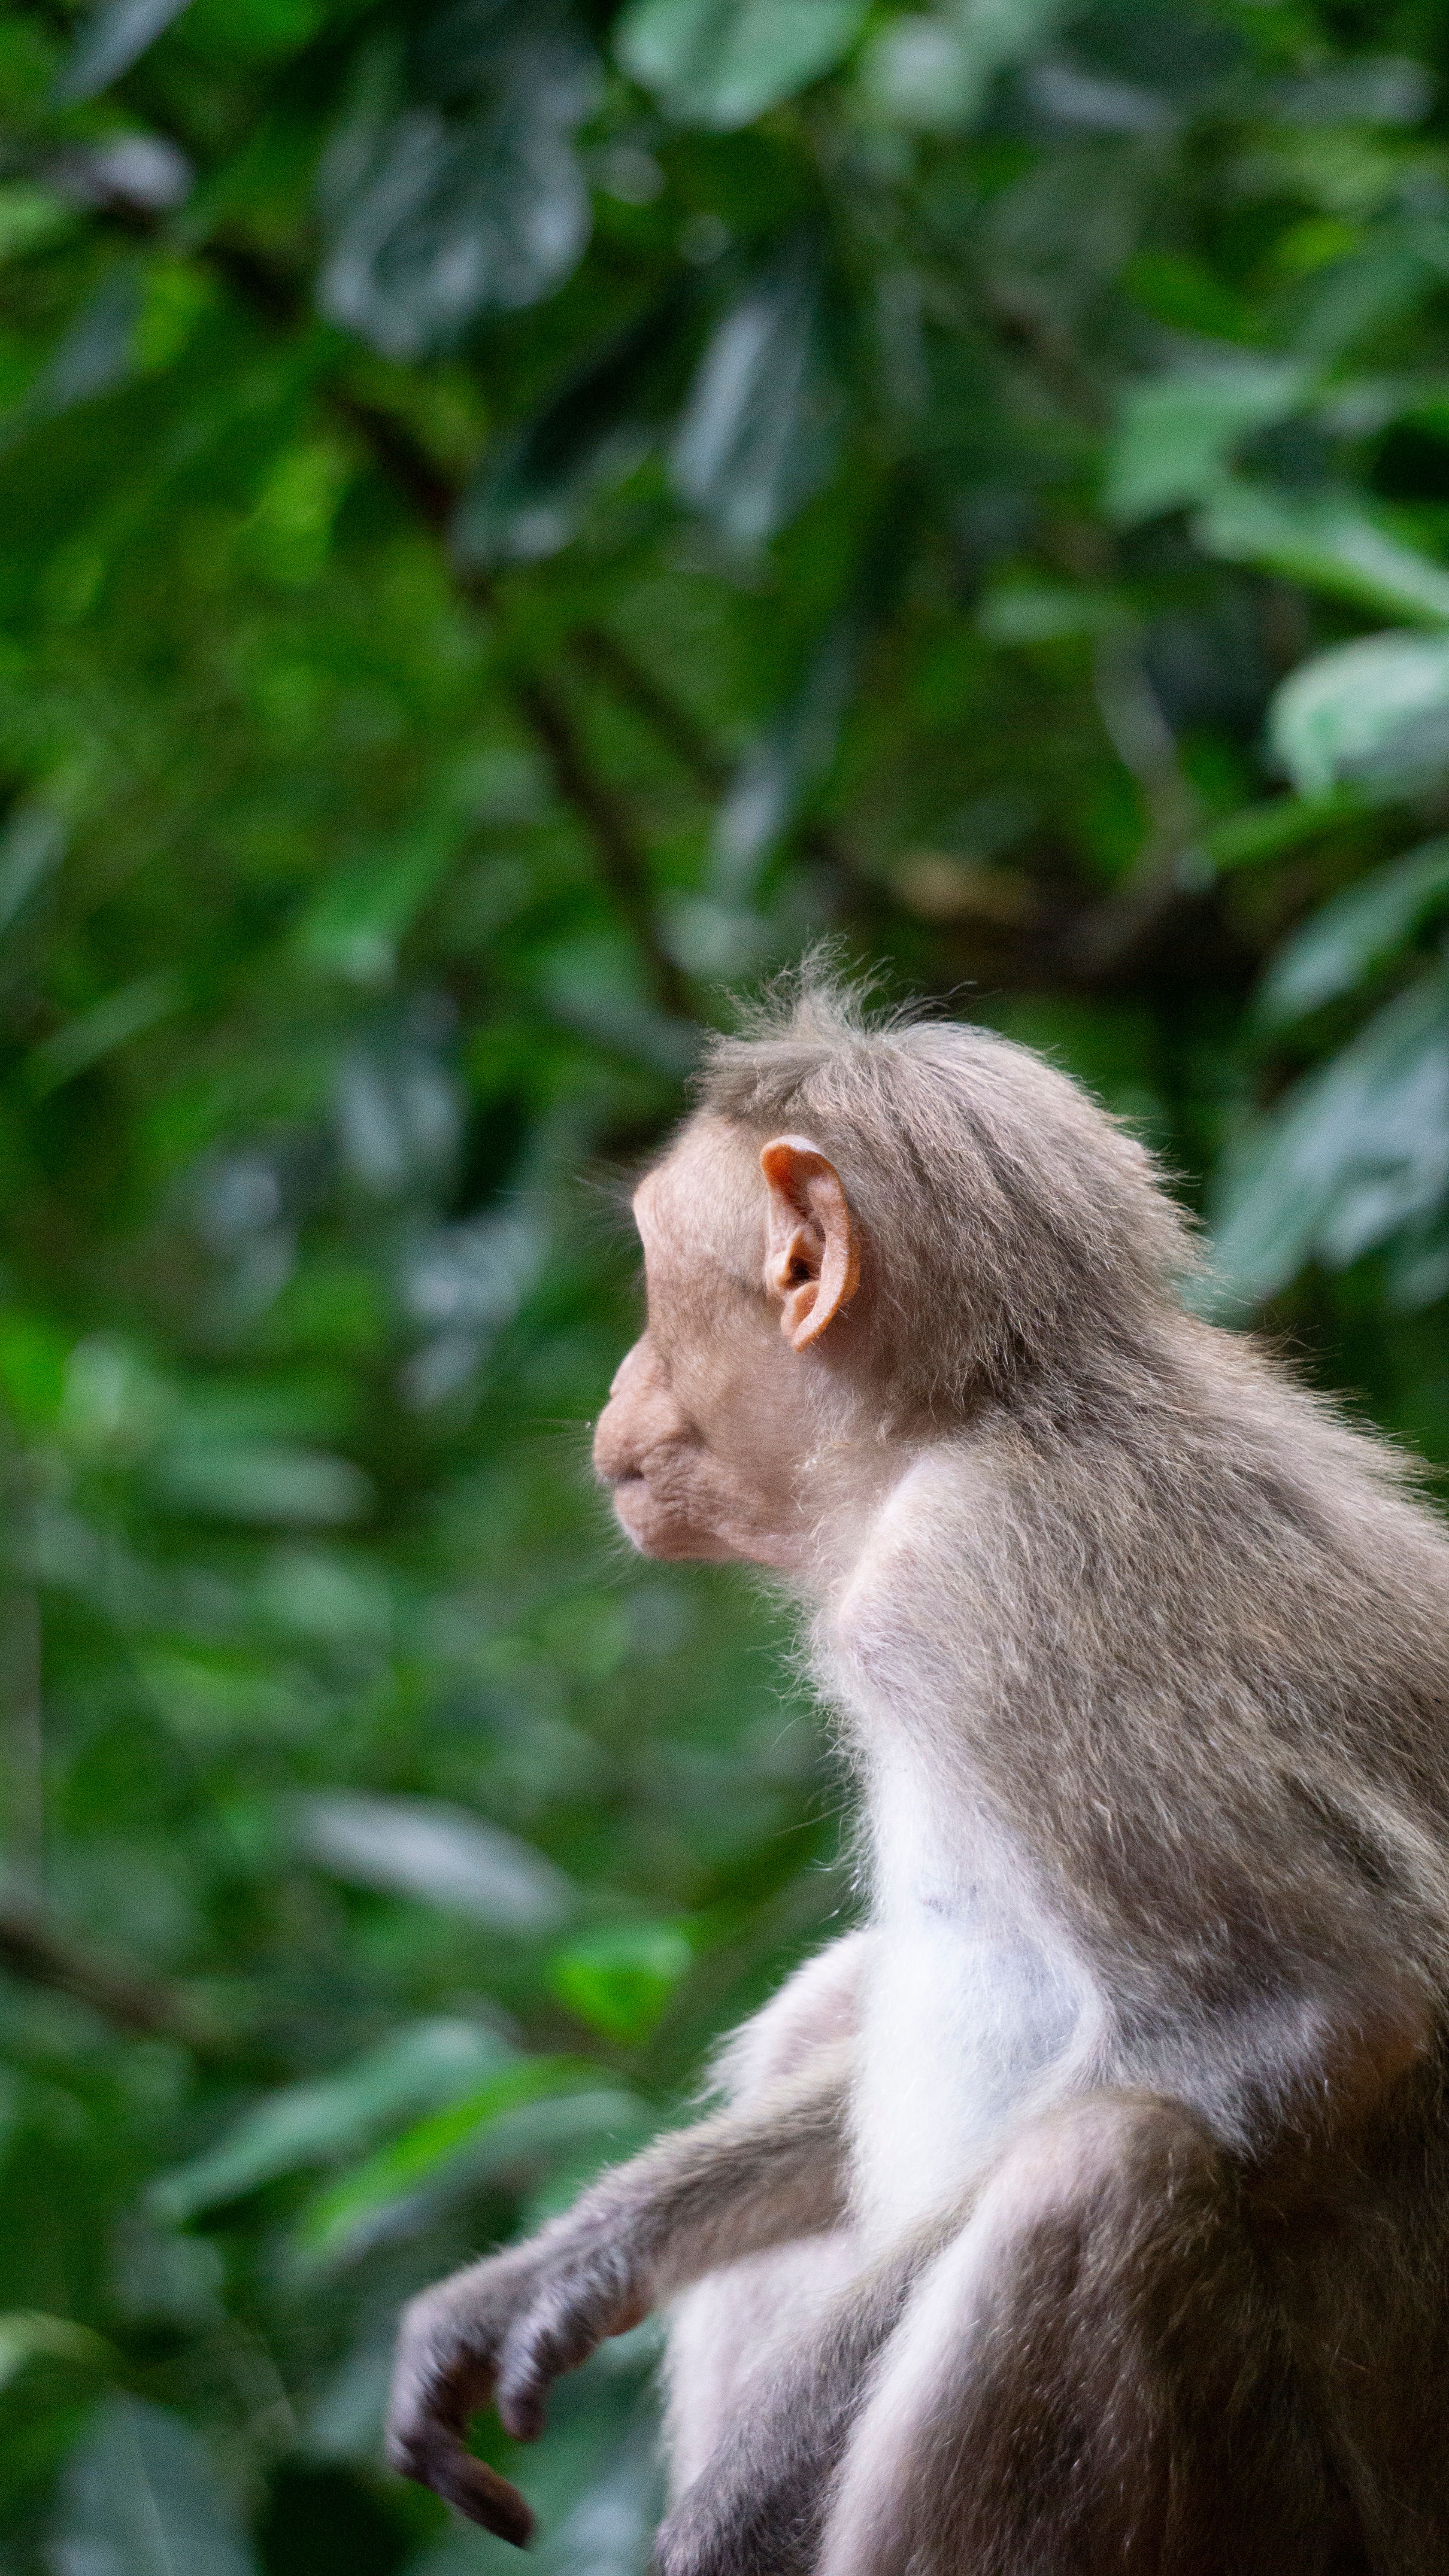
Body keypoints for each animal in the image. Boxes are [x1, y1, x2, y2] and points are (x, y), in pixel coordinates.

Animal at [387, 972, 1449, 2575]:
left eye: (651, 1287)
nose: (617, 1383)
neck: (988, 1415)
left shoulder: (979, 1588)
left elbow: (1321, 2012)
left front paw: (733, 2502)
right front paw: (565, 2265)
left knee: (1093, 2174)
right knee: (837, 2009)